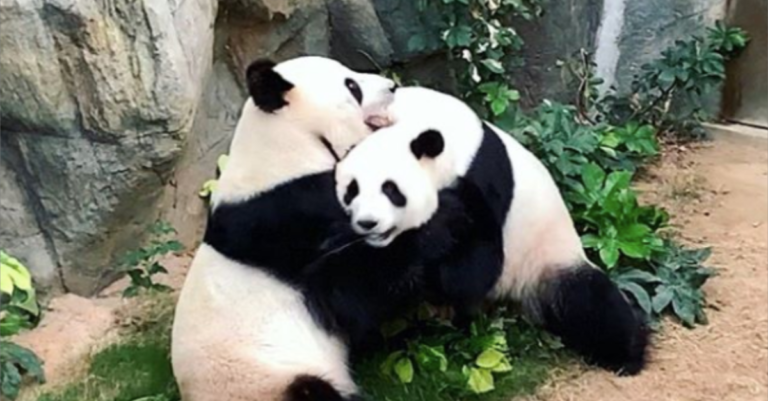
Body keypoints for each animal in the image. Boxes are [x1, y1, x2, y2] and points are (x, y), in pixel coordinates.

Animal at [171, 56, 397, 401]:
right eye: (352, 86)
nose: (393, 86)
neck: (285, 144)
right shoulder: (292, 213)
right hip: (264, 379)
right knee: (310, 389)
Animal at [334, 87, 649, 375]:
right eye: (352, 190)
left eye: (391, 190)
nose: (368, 223)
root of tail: (510, 302)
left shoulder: (481, 180)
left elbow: (474, 270)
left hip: (547, 260)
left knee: (590, 303)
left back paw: (627, 356)